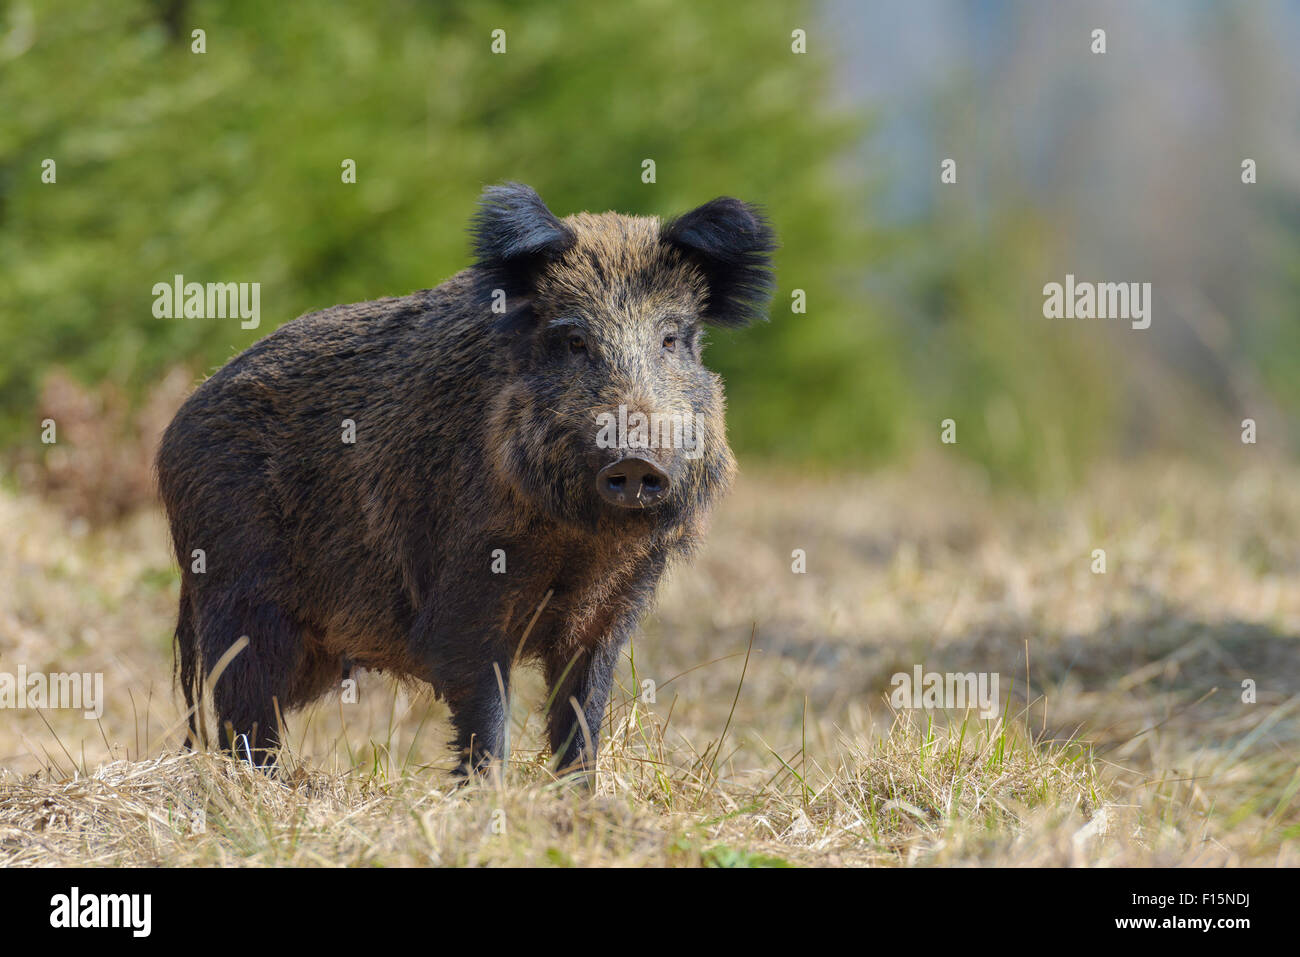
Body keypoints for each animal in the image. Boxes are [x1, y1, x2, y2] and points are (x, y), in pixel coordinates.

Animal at [156, 183, 776, 776]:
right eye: (574, 341)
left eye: (672, 340)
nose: (635, 460)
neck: (580, 542)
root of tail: (175, 428)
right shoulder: (466, 582)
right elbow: (484, 706)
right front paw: (487, 794)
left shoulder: (618, 602)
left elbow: (583, 713)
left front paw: (581, 796)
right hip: (238, 593)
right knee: (242, 713)